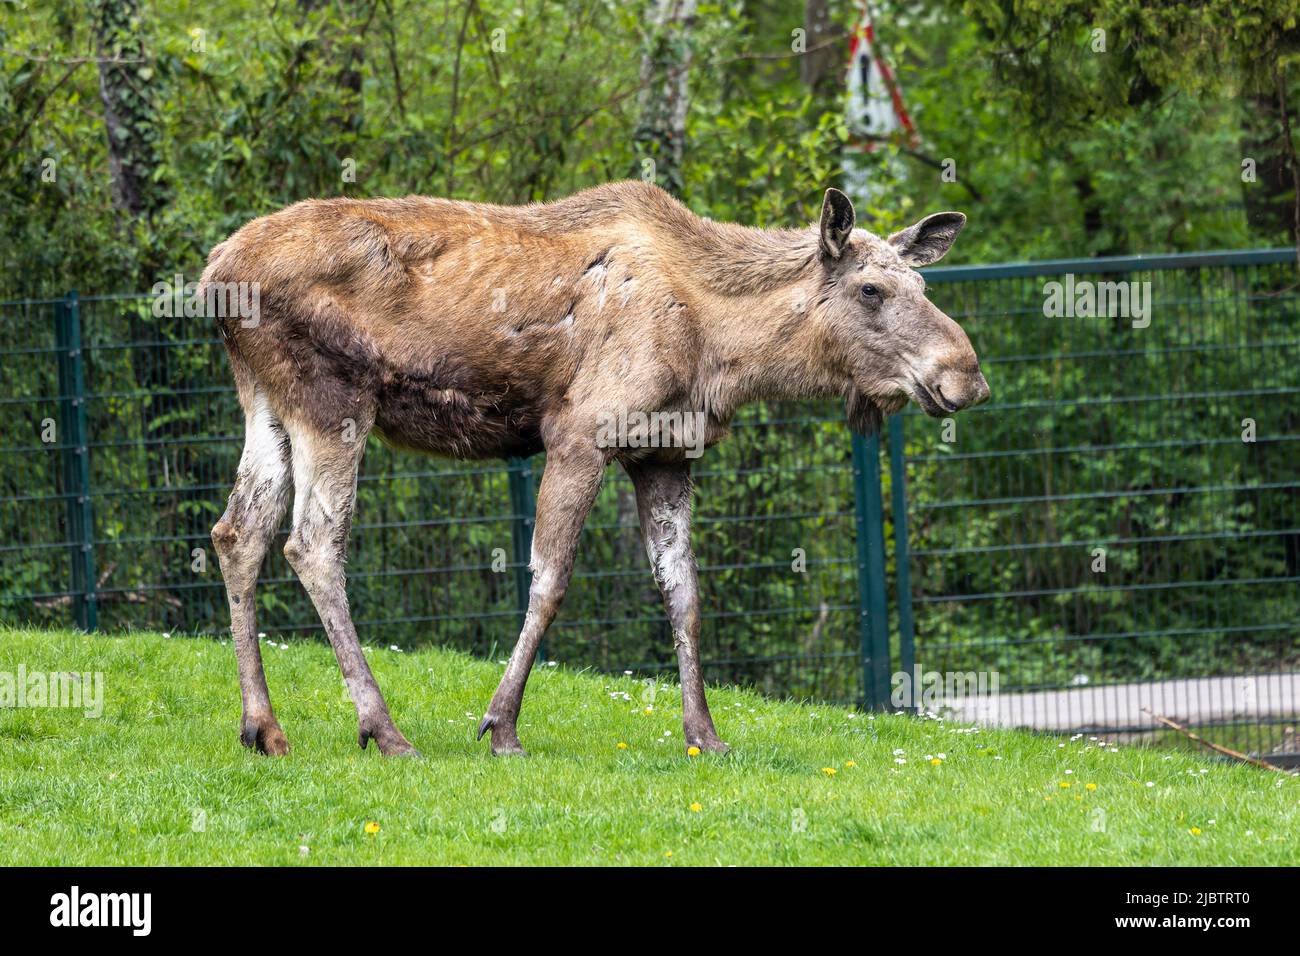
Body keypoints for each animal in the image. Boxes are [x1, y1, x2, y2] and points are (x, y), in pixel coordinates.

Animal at [203, 181, 988, 758]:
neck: (723, 352)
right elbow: (550, 581)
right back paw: (383, 729)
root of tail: (214, 275)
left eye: (922, 285)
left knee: (237, 533)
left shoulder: (665, 455)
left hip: (266, 402)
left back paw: (262, 727)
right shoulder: (580, 434)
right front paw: (502, 726)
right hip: (333, 398)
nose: (967, 376)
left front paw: (704, 735)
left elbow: (684, 595)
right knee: (312, 544)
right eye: (871, 291)